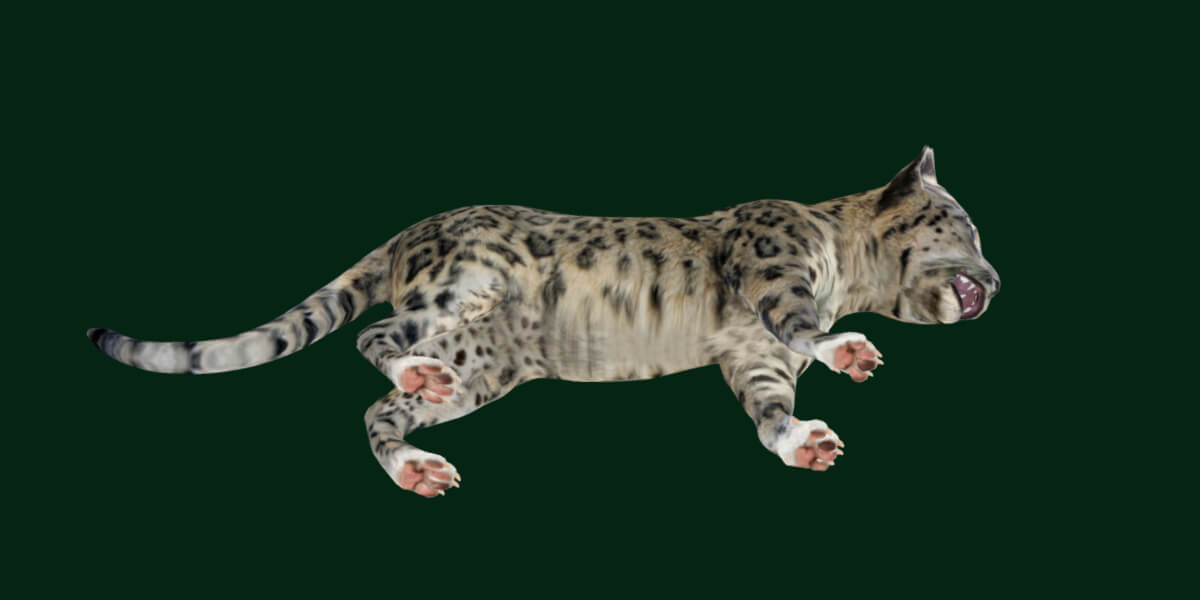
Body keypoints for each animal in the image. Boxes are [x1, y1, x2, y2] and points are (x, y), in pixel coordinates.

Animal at [88, 147, 1000, 498]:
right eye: (963, 225)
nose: (997, 276)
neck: (840, 268)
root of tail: (410, 231)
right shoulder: (775, 279)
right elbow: (803, 324)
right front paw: (850, 350)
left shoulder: (754, 360)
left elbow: (770, 407)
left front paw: (801, 441)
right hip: (462, 289)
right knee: (373, 343)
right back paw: (412, 385)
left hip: (484, 362)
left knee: (384, 404)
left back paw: (418, 456)